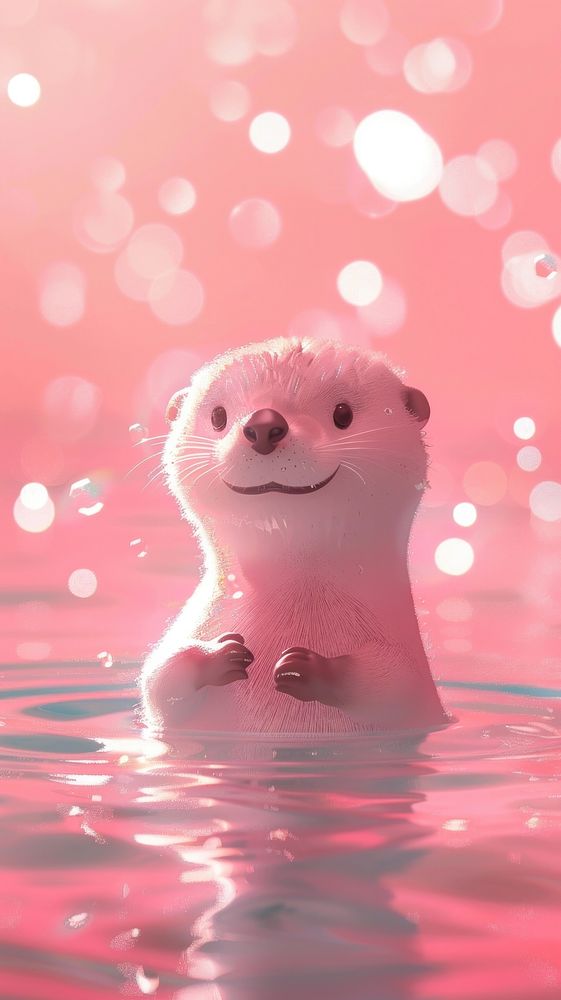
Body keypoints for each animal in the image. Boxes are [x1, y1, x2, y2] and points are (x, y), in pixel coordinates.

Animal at [140, 336, 448, 735]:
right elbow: (159, 677)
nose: (264, 424)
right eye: (218, 416)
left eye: (343, 414)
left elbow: (392, 684)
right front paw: (220, 654)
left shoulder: (407, 668)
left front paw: (310, 667)